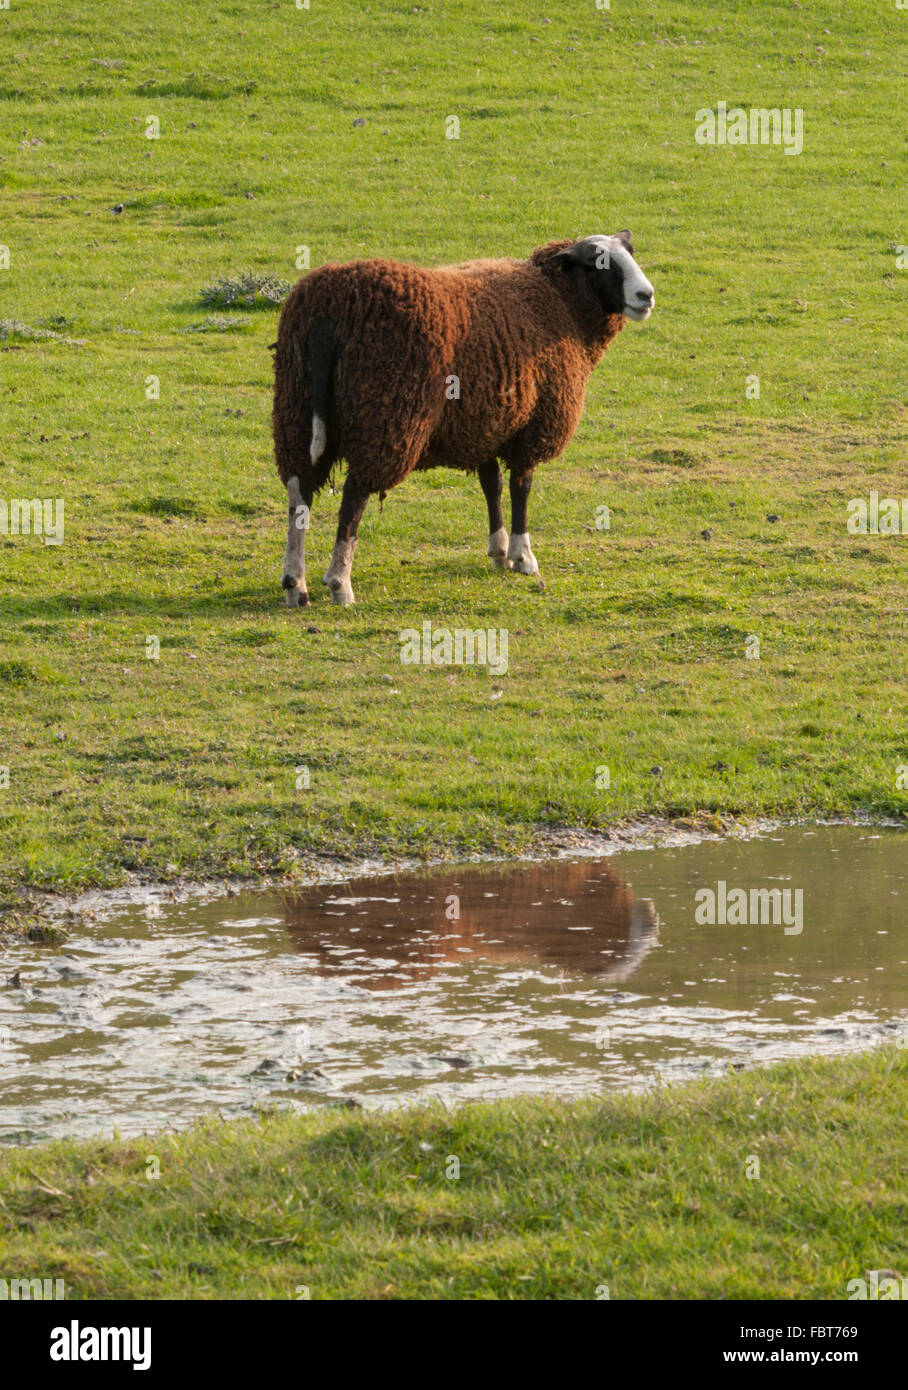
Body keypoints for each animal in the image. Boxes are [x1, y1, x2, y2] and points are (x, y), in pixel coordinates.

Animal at [271, 232, 655, 606]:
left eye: (630, 251)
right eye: (597, 262)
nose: (646, 295)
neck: (559, 302)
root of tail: (327, 317)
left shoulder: (483, 423)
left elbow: (491, 484)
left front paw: (499, 550)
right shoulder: (532, 426)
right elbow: (521, 487)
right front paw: (522, 556)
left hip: (296, 410)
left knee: (298, 490)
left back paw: (295, 584)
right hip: (384, 415)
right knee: (354, 496)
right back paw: (340, 583)